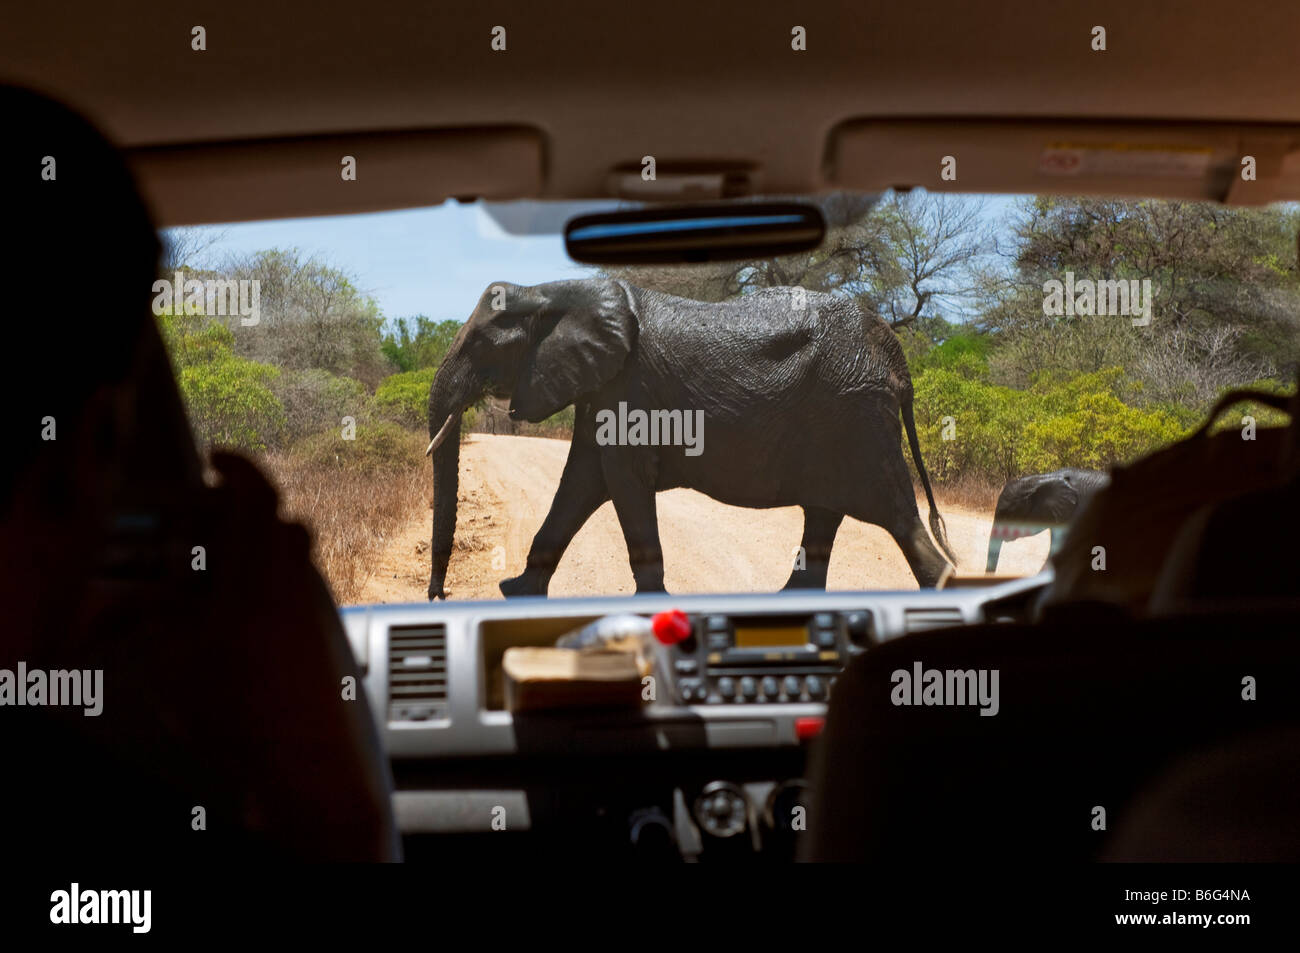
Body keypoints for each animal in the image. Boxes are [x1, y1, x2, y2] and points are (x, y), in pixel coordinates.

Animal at [425, 278, 959, 600]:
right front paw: (515, 591)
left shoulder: (628, 389)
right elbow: (580, 481)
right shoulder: (601, 386)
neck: (551, 291)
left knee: (898, 519)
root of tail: (894, 352)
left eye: (479, 344)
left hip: (857, 416)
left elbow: (621, 482)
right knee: (826, 515)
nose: (439, 595)